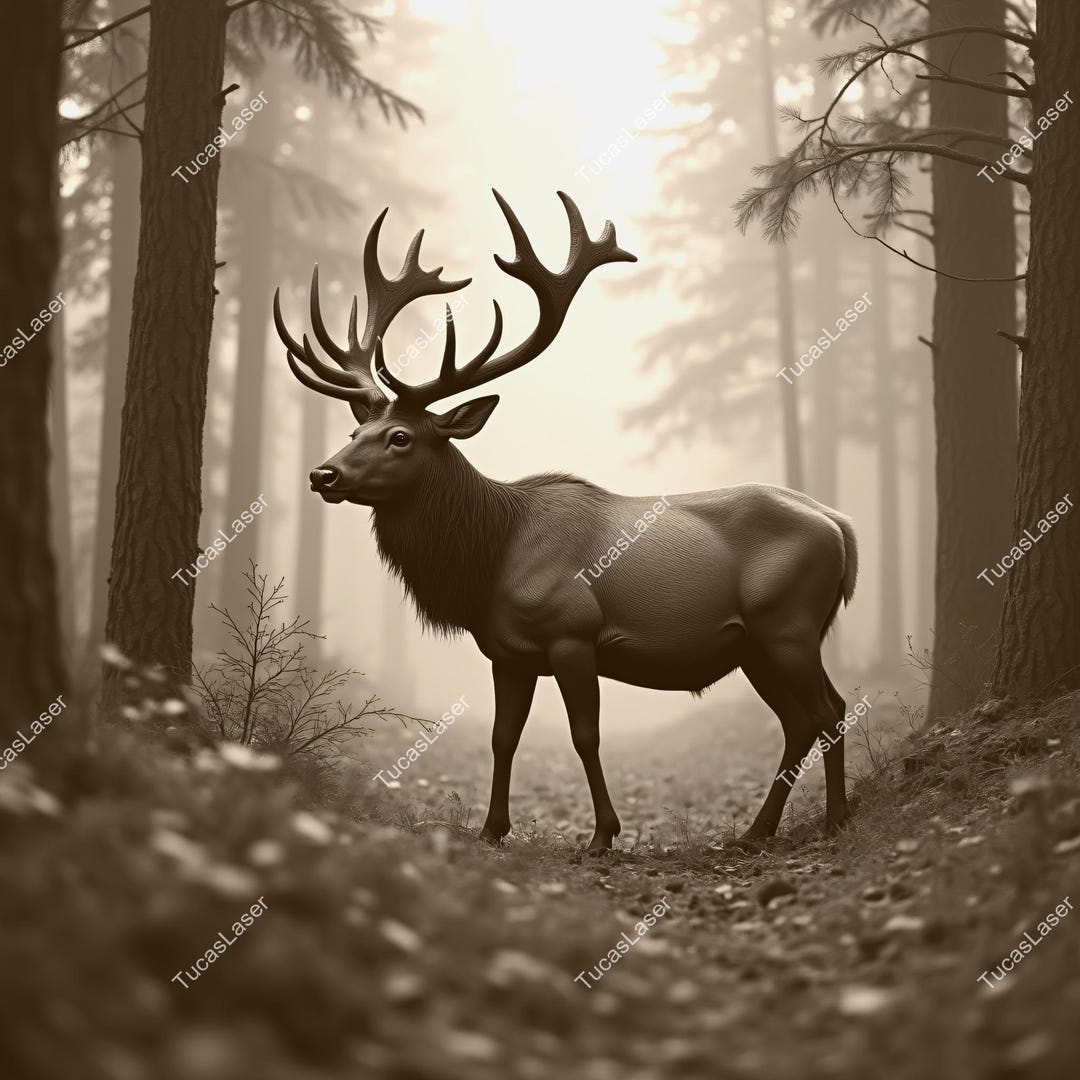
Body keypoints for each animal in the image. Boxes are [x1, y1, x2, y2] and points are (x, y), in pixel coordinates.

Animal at [274, 190, 858, 852]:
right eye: (355, 433)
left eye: (400, 437)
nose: (323, 474)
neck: (486, 564)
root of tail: (840, 526)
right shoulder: (506, 651)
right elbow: (504, 737)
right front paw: (491, 829)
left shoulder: (573, 632)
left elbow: (585, 735)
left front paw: (603, 835)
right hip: (755, 643)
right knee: (800, 720)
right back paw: (756, 831)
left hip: (788, 623)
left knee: (829, 711)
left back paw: (835, 819)